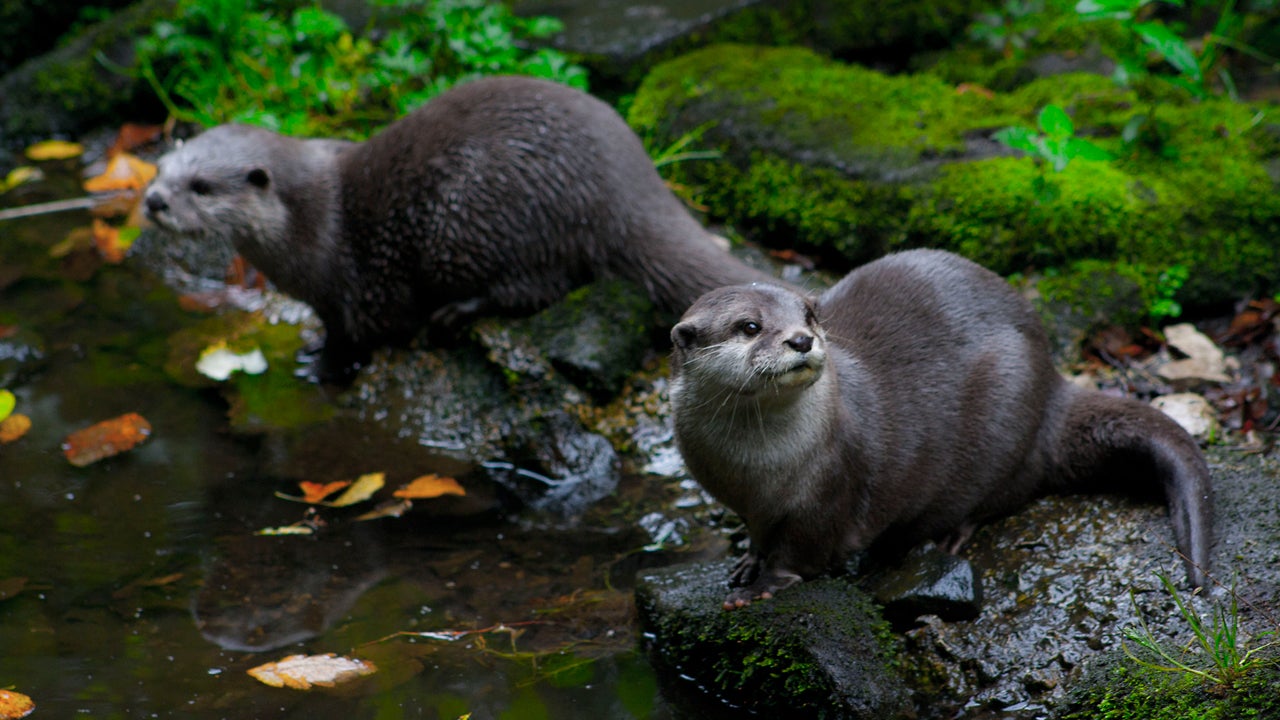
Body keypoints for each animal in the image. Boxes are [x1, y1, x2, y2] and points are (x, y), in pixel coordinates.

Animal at [143, 76, 777, 381]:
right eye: (163, 167)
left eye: (200, 186)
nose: (152, 201)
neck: (312, 225)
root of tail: (625, 184)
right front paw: (312, 347)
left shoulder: (358, 286)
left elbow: (368, 333)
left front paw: (323, 369)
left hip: (479, 218)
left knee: (543, 287)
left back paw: (457, 313)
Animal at [669, 249, 1213, 610]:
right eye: (750, 326)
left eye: (809, 314)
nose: (801, 340)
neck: (755, 467)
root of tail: (1052, 385)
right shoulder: (745, 501)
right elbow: (758, 534)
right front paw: (746, 562)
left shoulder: (829, 487)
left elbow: (802, 552)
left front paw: (764, 585)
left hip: (1007, 409)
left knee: (1006, 492)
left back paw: (945, 535)